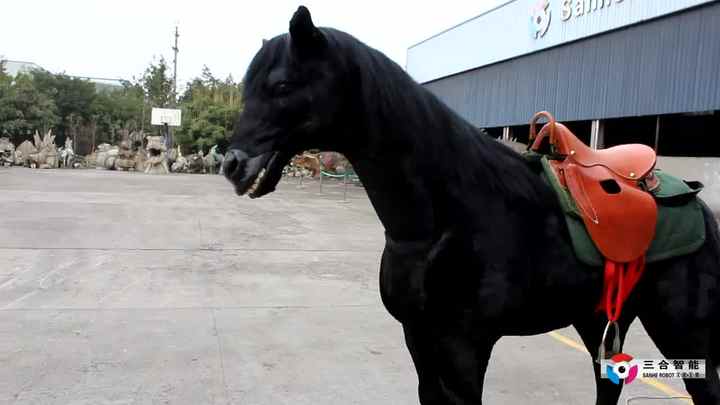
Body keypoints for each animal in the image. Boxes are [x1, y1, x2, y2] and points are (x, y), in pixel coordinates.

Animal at [222, 7, 720, 404]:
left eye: (282, 84)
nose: (231, 164)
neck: (443, 223)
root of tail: (698, 205)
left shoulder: (464, 349)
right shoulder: (419, 341)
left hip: (684, 333)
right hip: (598, 317)